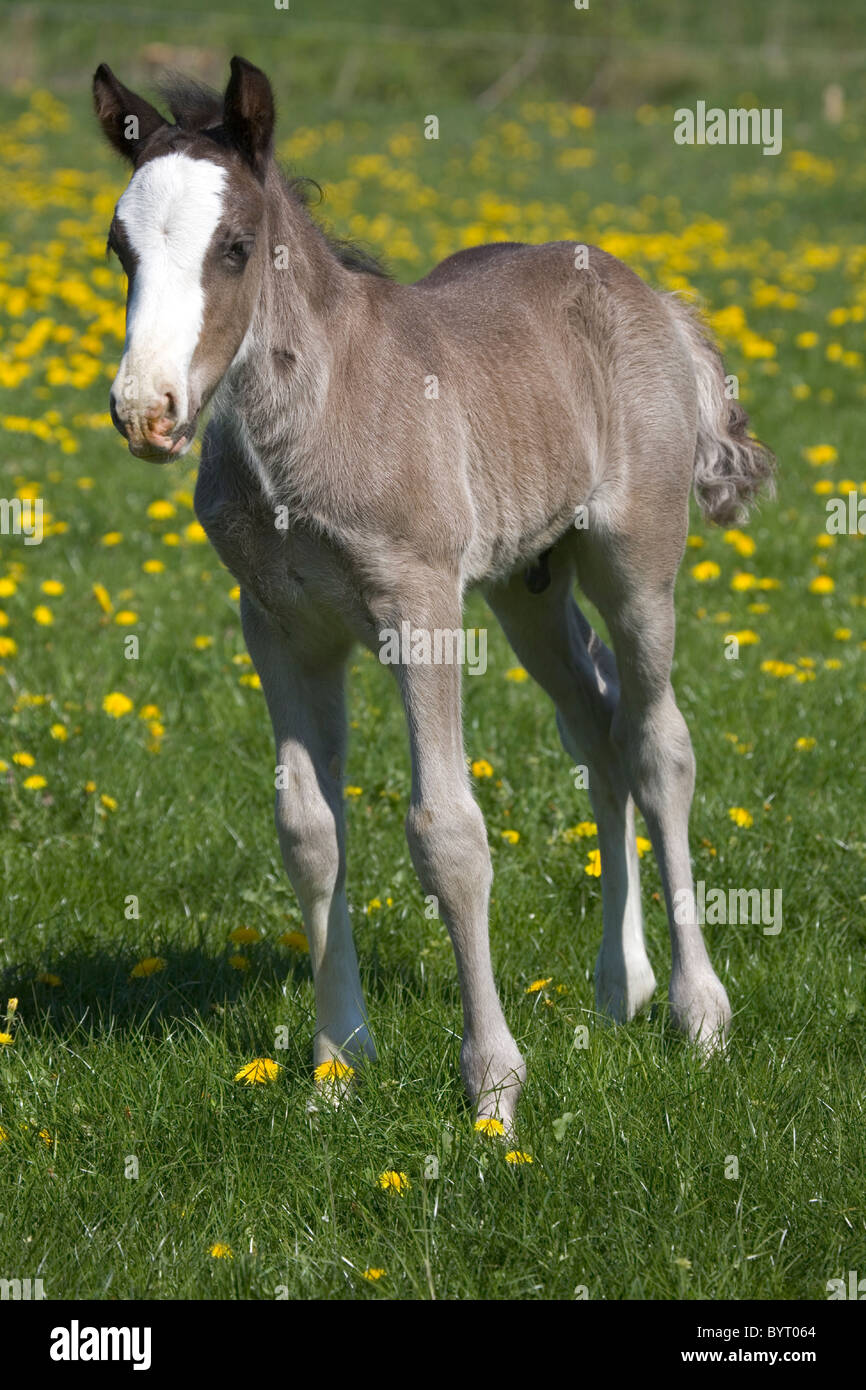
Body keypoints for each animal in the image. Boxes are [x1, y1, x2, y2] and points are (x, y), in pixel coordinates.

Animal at [93, 56, 773, 1133]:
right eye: (119, 248)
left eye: (236, 248)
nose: (145, 410)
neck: (307, 427)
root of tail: (651, 296)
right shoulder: (281, 629)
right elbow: (309, 832)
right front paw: (336, 1064)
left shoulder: (422, 612)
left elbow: (447, 833)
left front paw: (492, 1086)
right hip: (526, 588)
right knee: (598, 730)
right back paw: (616, 985)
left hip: (633, 560)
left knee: (659, 744)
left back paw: (695, 1010)